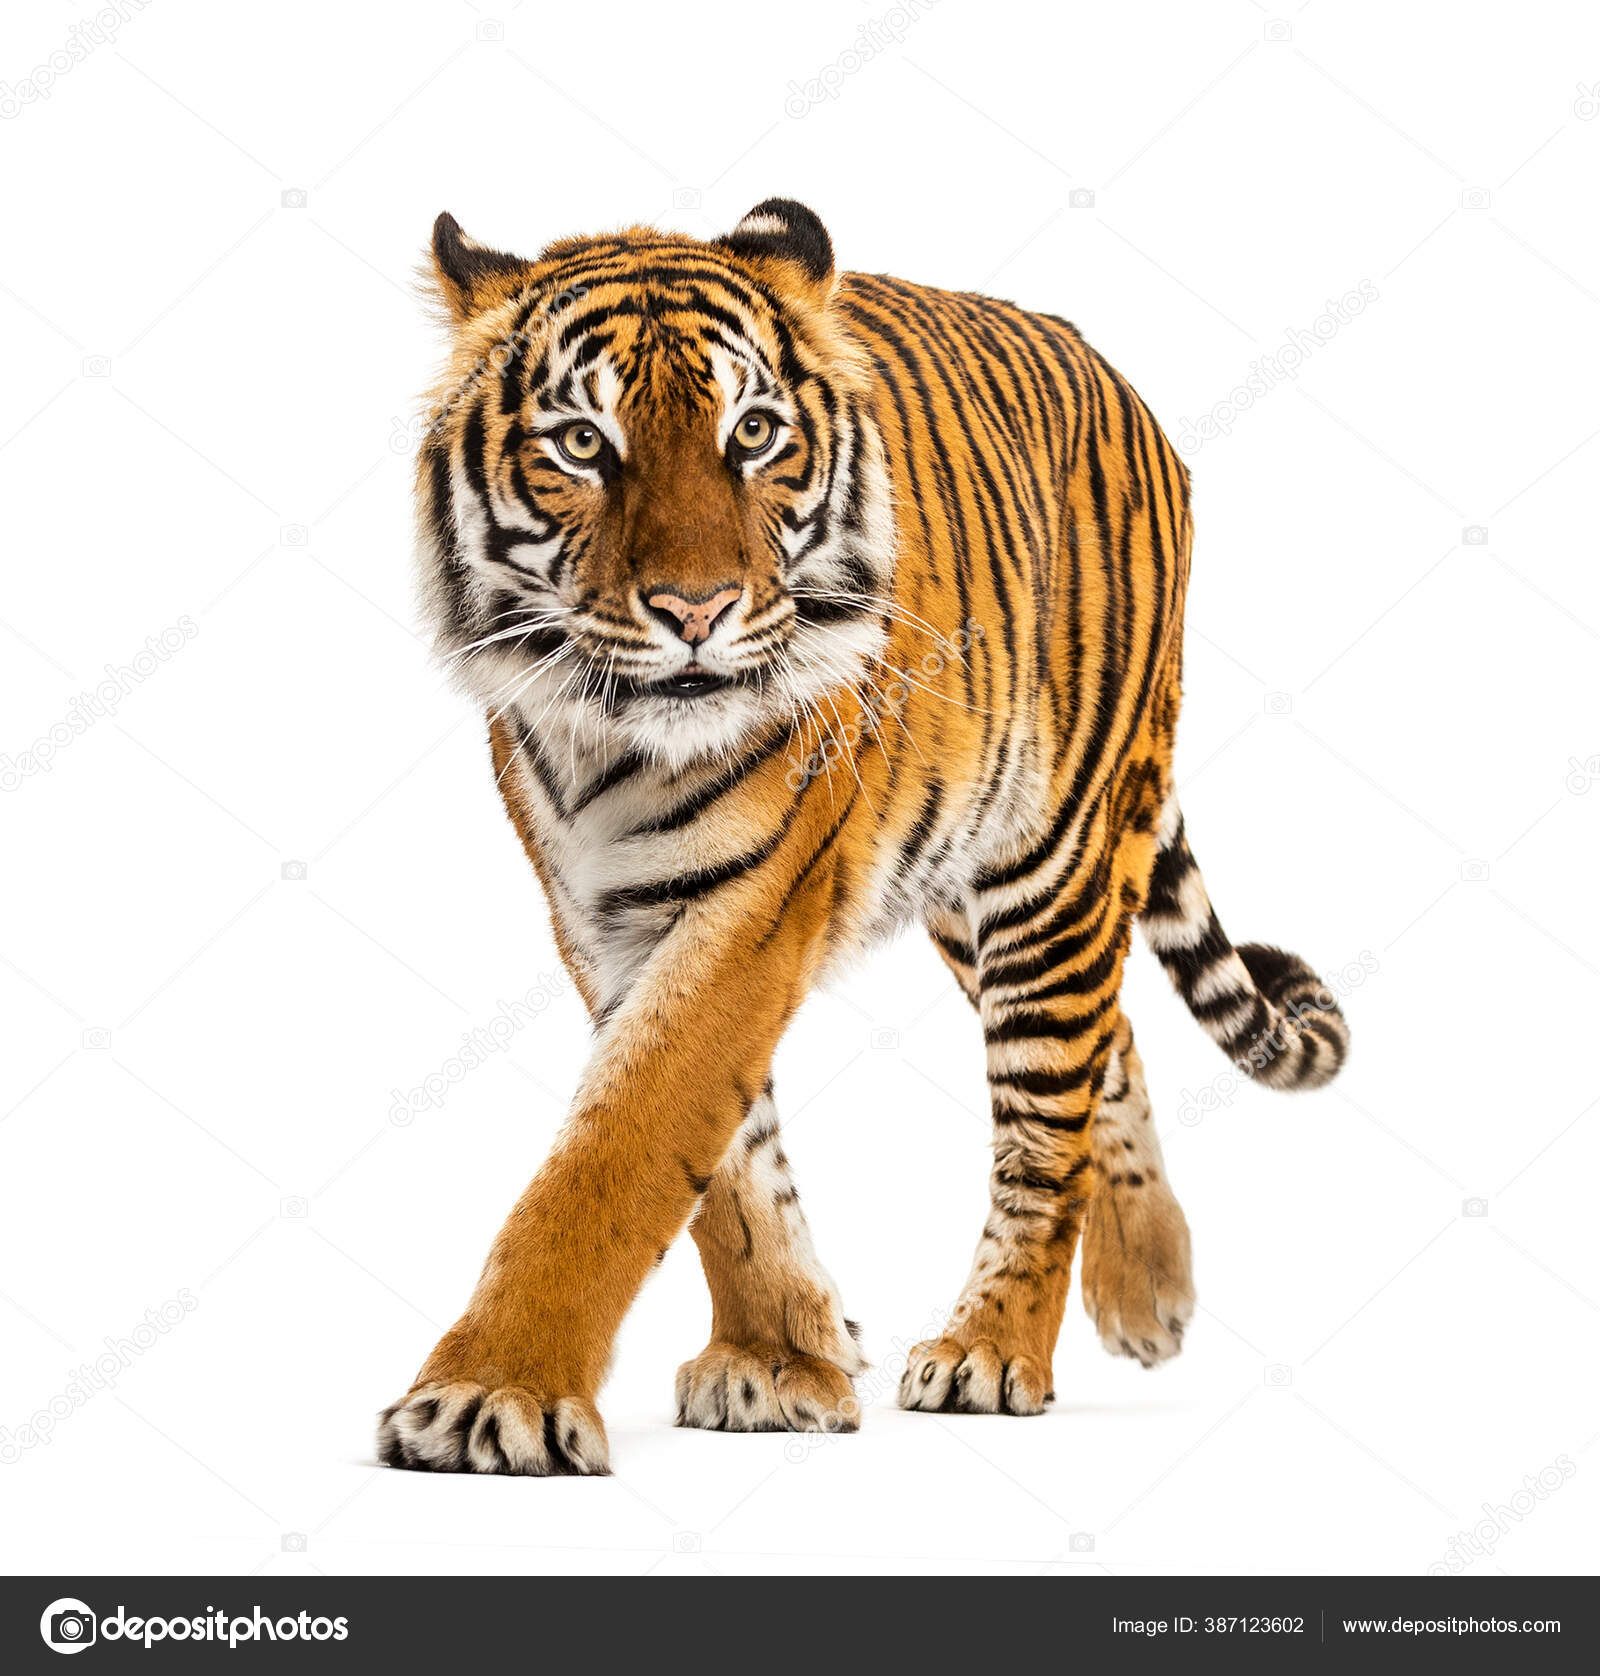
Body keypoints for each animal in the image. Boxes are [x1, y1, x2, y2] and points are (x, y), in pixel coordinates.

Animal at [377, 198, 1350, 1475]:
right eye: (583, 444)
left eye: (753, 432)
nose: (696, 609)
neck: (617, 747)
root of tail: (1113, 375)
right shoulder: (606, 918)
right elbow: (728, 1172)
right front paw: (781, 1358)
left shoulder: (756, 903)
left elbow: (620, 1146)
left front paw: (489, 1395)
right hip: (964, 883)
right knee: (1116, 1036)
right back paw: (1147, 1288)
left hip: (1053, 859)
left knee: (1049, 1108)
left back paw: (993, 1347)